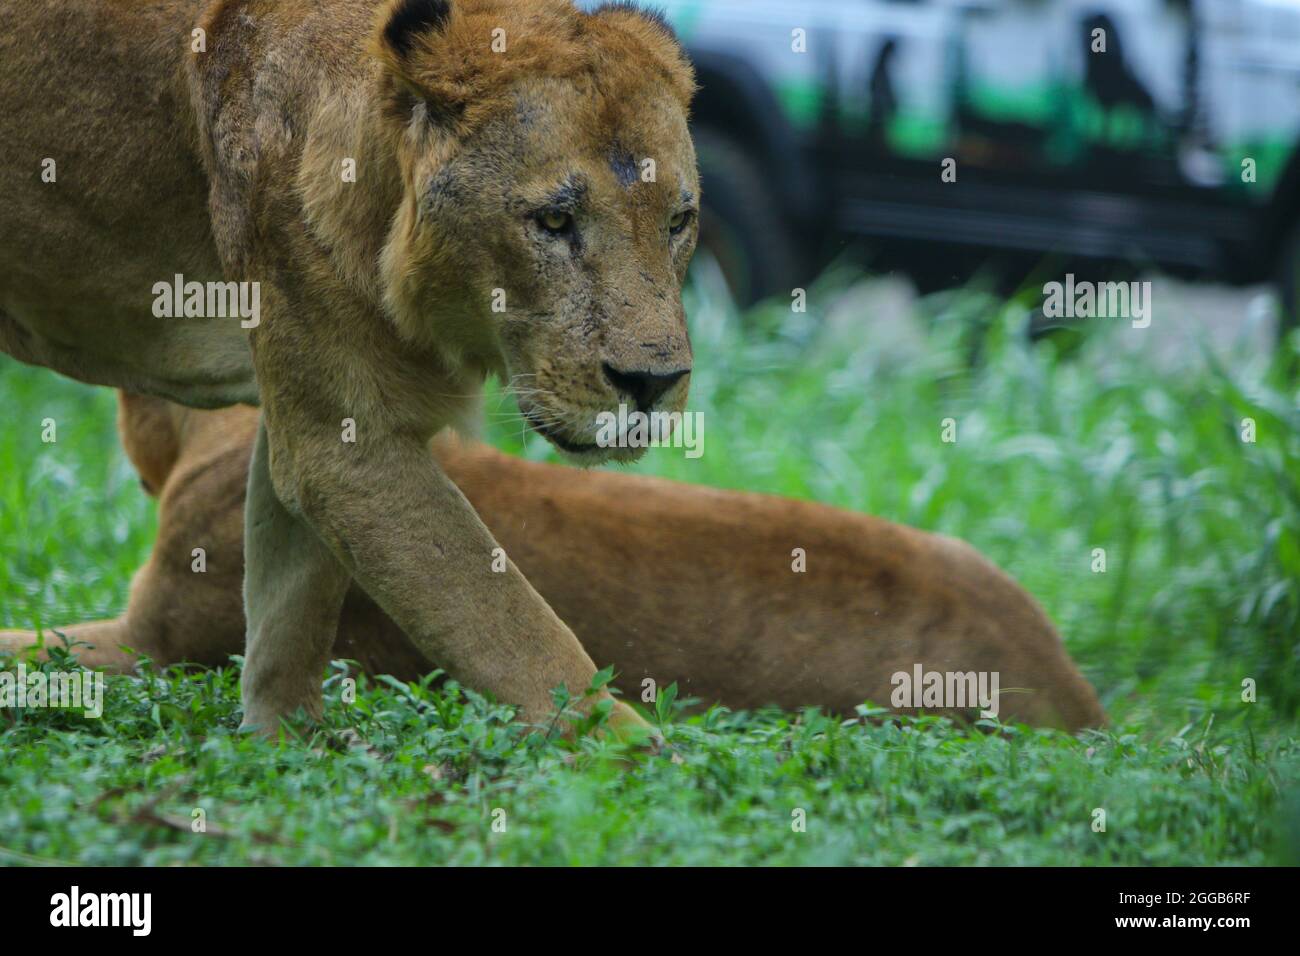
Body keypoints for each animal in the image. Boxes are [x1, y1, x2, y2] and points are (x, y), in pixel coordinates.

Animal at [0, 0, 700, 735]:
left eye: (678, 222)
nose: (653, 384)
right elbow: (508, 624)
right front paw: (628, 747)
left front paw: (283, 738)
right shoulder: (349, 450)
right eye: (555, 220)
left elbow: (287, 606)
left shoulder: (318, 425)